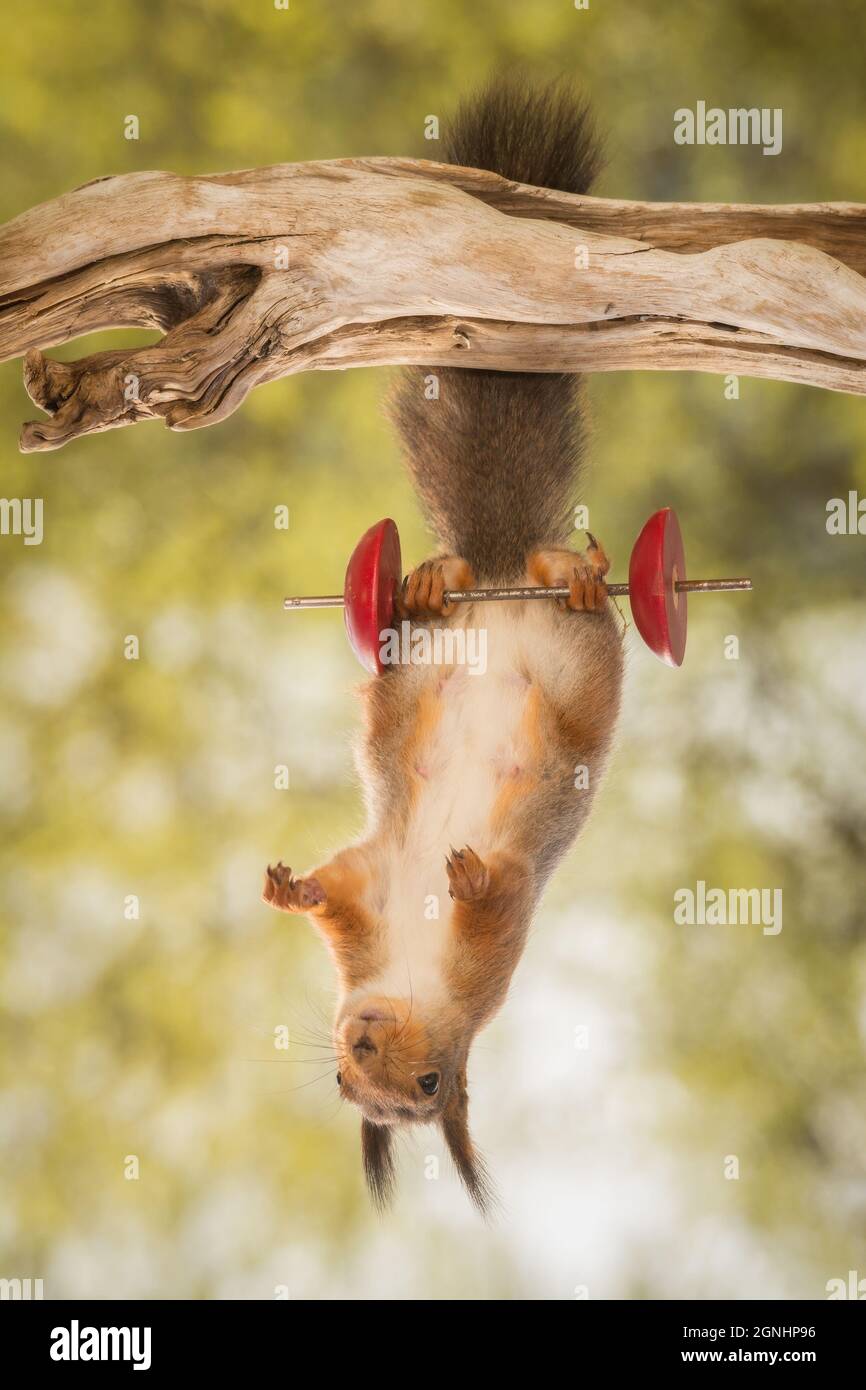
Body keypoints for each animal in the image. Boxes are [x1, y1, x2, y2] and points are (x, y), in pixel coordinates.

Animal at [262, 78, 624, 1214]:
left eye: (428, 1086)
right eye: (347, 1084)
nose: (356, 1037)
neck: (414, 963)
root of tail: (505, 577)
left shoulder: (500, 948)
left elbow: (495, 895)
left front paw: (463, 877)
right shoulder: (366, 893)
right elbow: (332, 887)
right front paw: (283, 888)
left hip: (585, 666)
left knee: (586, 606)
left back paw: (580, 571)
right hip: (413, 660)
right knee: (435, 601)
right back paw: (427, 582)